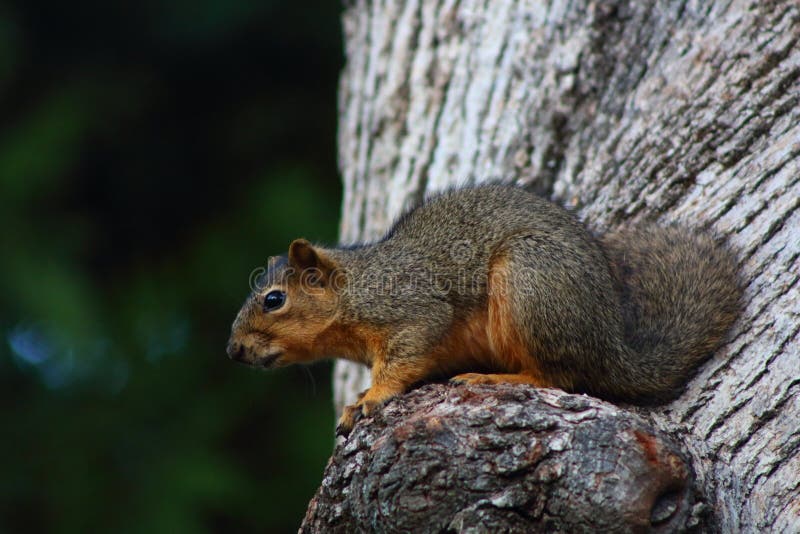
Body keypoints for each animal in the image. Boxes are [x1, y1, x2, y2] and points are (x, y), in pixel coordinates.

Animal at [227, 185, 742, 435]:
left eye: (274, 300)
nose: (233, 351)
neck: (355, 289)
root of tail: (613, 349)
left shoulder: (413, 309)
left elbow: (402, 357)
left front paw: (372, 397)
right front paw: (357, 400)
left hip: (532, 287)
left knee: (559, 376)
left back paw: (494, 378)